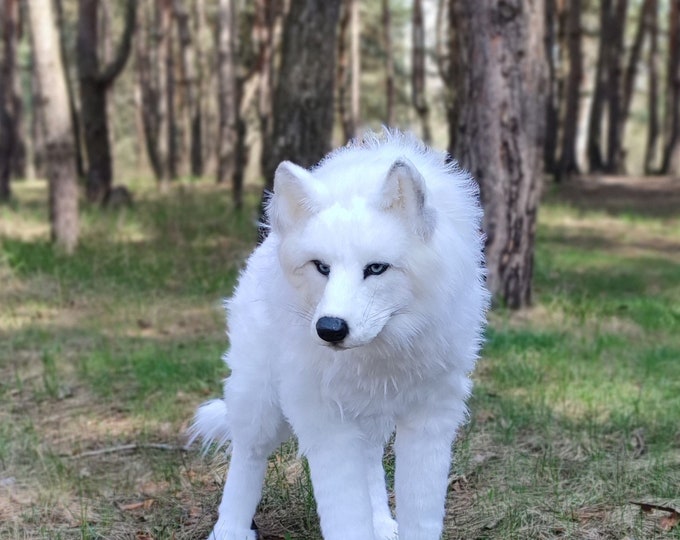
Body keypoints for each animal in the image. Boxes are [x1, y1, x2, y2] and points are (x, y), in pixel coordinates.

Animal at [190, 130, 489, 540]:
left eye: (376, 268)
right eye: (321, 267)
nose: (329, 329)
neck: (380, 356)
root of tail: (267, 240)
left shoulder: (431, 420)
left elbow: (420, 514)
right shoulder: (326, 422)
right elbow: (345, 516)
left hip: (368, 420)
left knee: (370, 463)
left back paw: (381, 524)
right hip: (260, 402)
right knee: (247, 455)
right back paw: (230, 530)